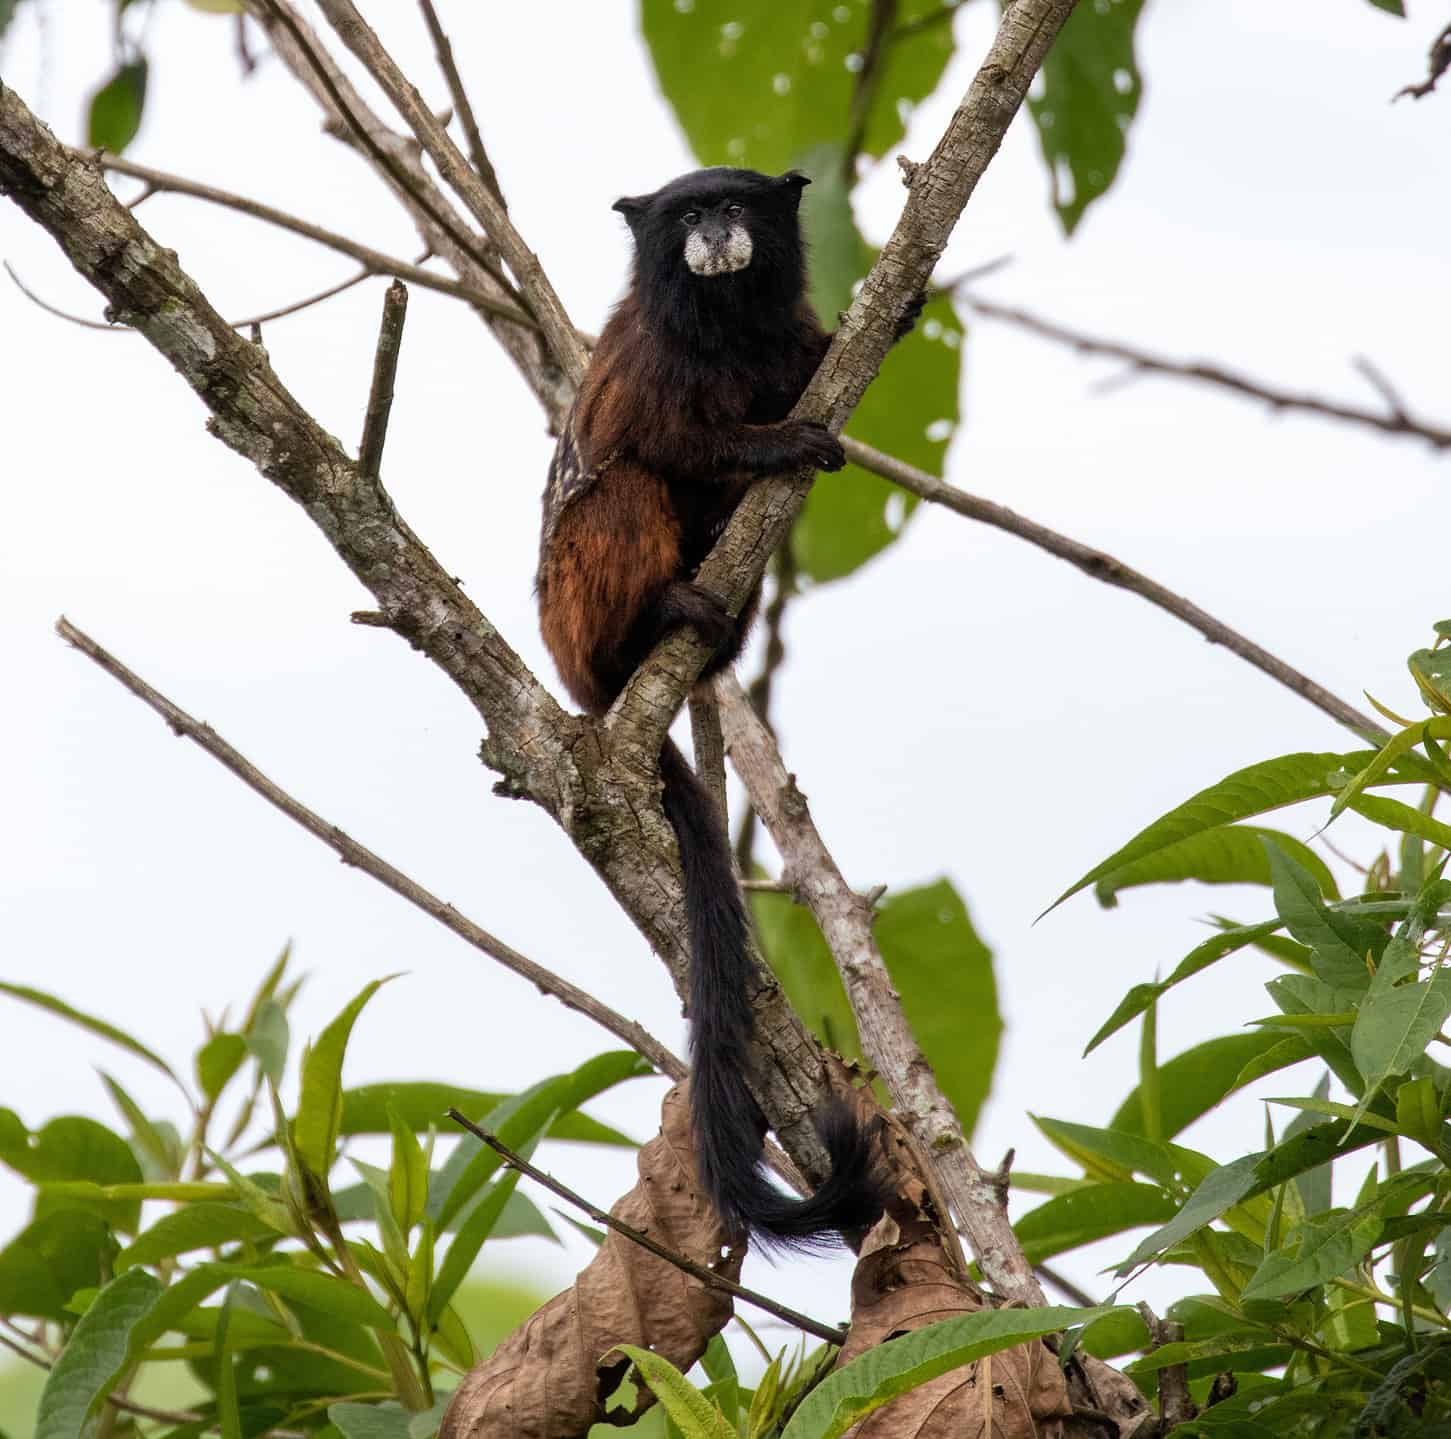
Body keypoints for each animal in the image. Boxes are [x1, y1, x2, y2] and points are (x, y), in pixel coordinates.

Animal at [536, 166, 919, 1247]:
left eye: (737, 207)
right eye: (686, 215)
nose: (713, 233)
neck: (726, 320)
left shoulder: (782, 336)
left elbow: (822, 357)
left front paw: (893, 313)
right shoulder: (649, 355)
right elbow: (657, 439)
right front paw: (775, 440)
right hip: (575, 610)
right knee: (624, 482)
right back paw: (659, 615)